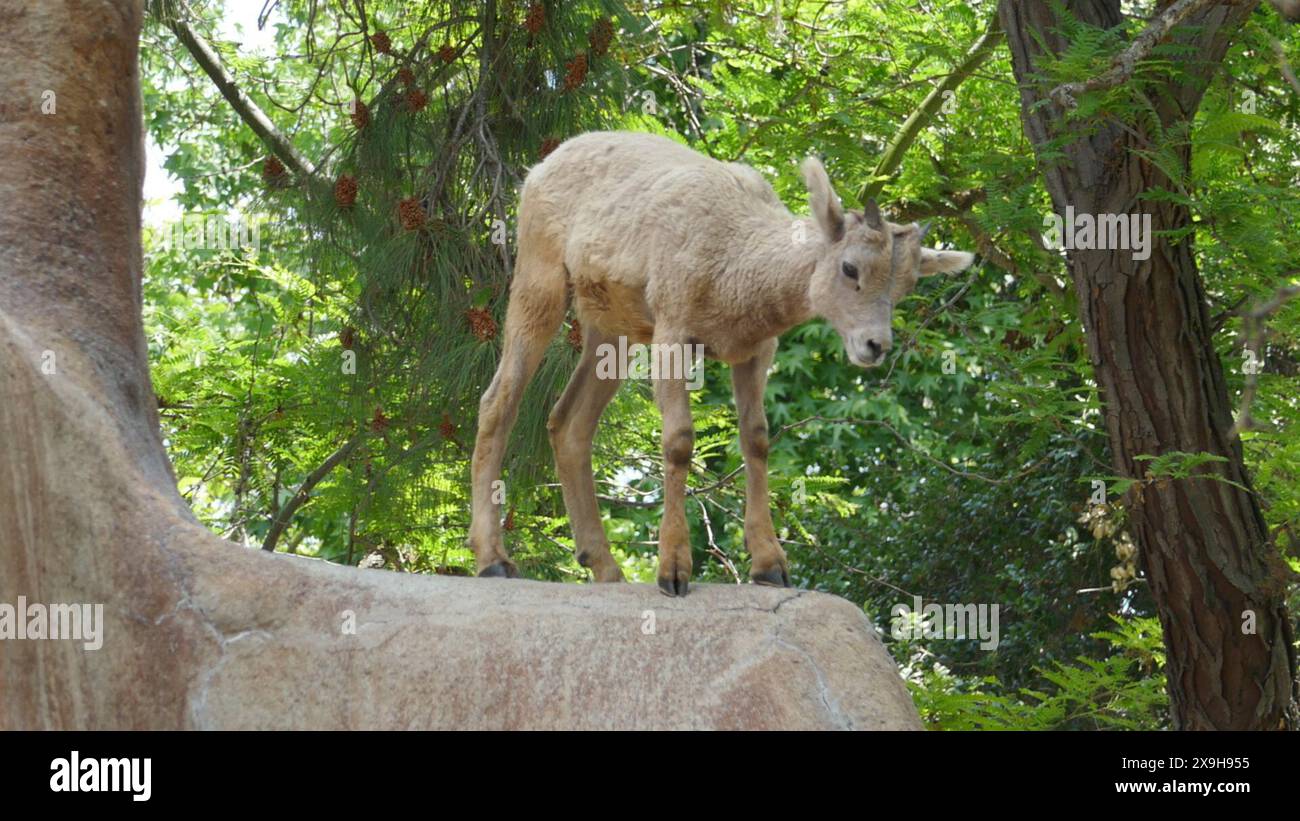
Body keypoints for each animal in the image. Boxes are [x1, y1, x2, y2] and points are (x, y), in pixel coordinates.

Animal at [468, 131, 974, 596]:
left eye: (907, 284)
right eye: (850, 267)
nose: (874, 345)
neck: (734, 266)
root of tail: (538, 170)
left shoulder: (755, 350)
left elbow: (757, 439)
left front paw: (771, 567)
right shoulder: (672, 331)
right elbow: (678, 441)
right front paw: (674, 572)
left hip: (610, 329)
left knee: (569, 422)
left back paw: (606, 570)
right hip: (541, 280)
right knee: (498, 400)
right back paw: (494, 560)